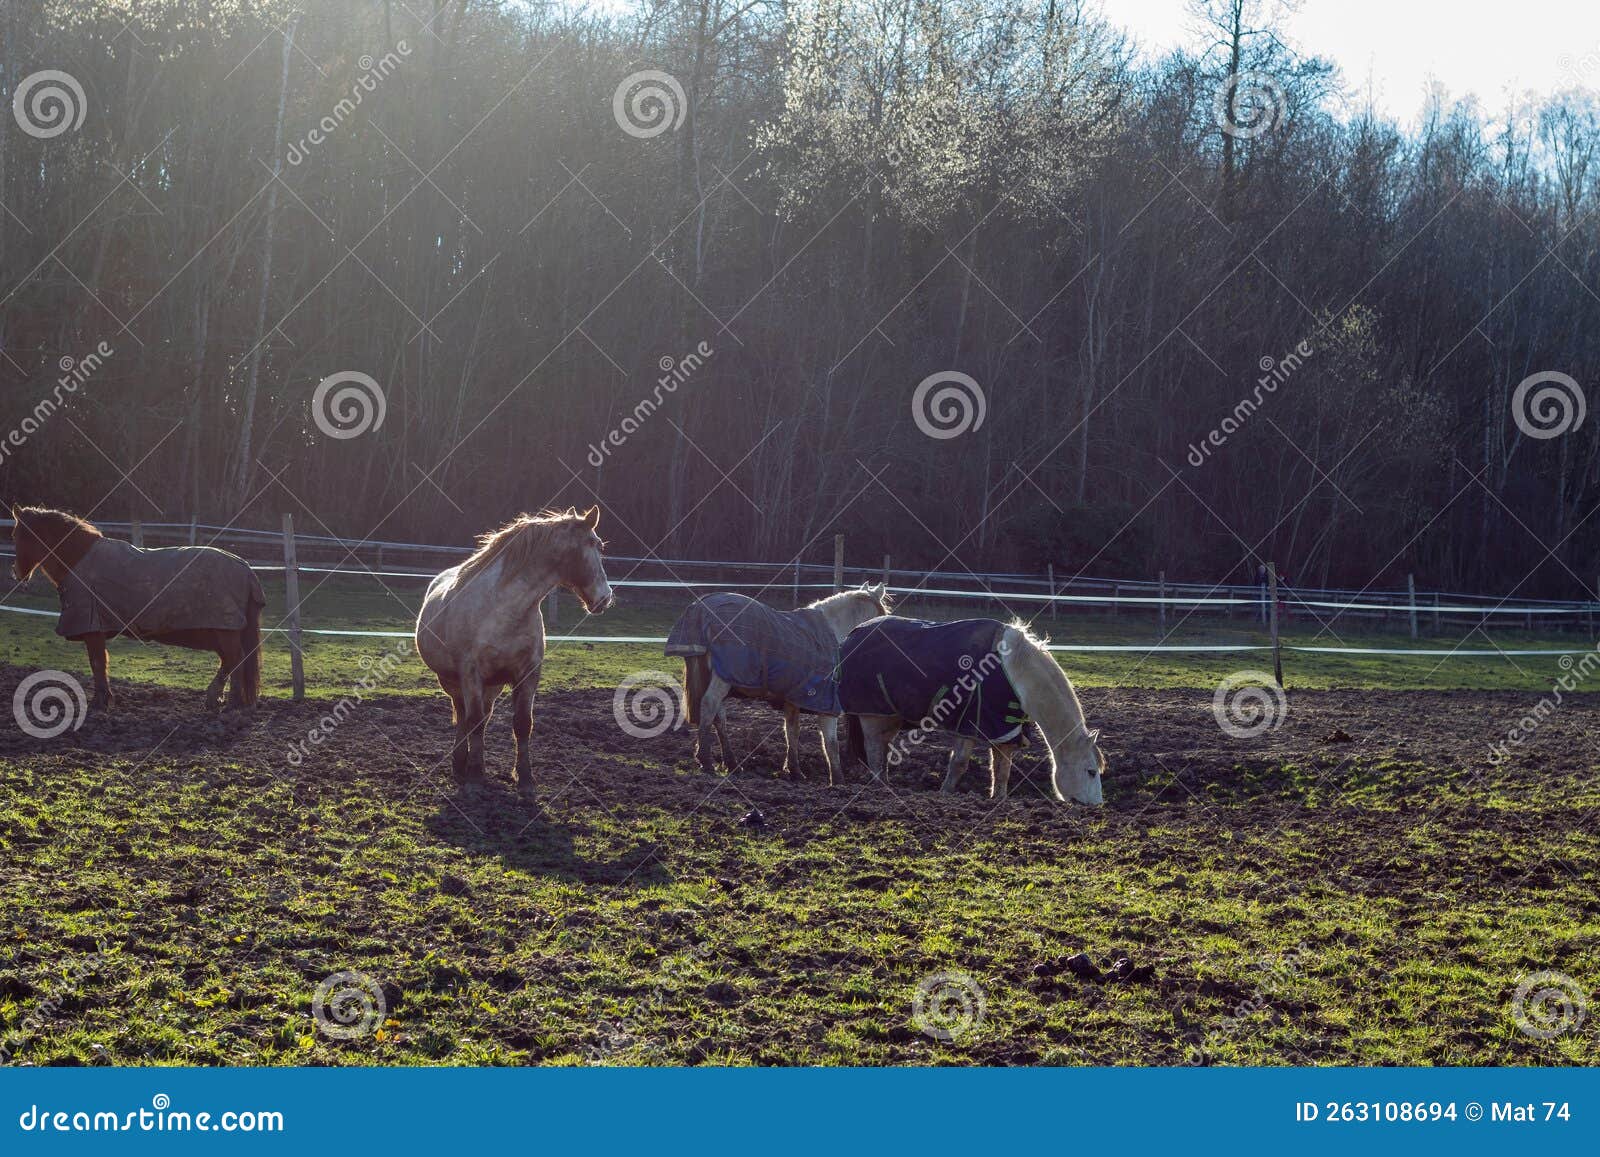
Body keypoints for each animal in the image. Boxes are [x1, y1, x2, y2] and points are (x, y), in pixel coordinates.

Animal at [9, 505, 265, 712]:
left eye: (17, 535)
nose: (16, 572)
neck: (79, 559)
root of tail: (245, 567)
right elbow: (100, 664)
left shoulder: (93, 629)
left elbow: (97, 663)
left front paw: (100, 702)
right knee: (231, 661)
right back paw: (224, 700)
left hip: (225, 630)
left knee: (235, 659)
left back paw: (225, 701)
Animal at [415, 507, 614, 796]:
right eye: (595, 544)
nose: (605, 597)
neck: (505, 609)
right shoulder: (471, 674)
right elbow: (474, 721)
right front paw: (475, 779)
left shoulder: (528, 674)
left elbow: (522, 724)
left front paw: (526, 780)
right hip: (452, 681)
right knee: (464, 716)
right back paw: (461, 764)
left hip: (492, 686)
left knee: (480, 716)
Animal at [666, 584, 890, 784]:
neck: (832, 630)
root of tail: (700, 607)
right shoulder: (825, 703)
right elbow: (830, 742)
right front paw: (838, 780)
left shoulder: (793, 699)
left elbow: (792, 731)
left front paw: (795, 770)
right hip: (723, 679)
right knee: (709, 706)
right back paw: (706, 761)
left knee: (718, 717)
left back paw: (731, 763)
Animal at [840, 616, 1105, 805]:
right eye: (1091, 771)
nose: (1096, 806)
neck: (1014, 672)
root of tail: (853, 634)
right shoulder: (968, 725)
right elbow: (959, 764)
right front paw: (945, 794)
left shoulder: (1005, 730)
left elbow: (1002, 770)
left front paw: (999, 799)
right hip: (871, 715)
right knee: (874, 750)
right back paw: (881, 788)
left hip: (889, 718)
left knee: (882, 749)